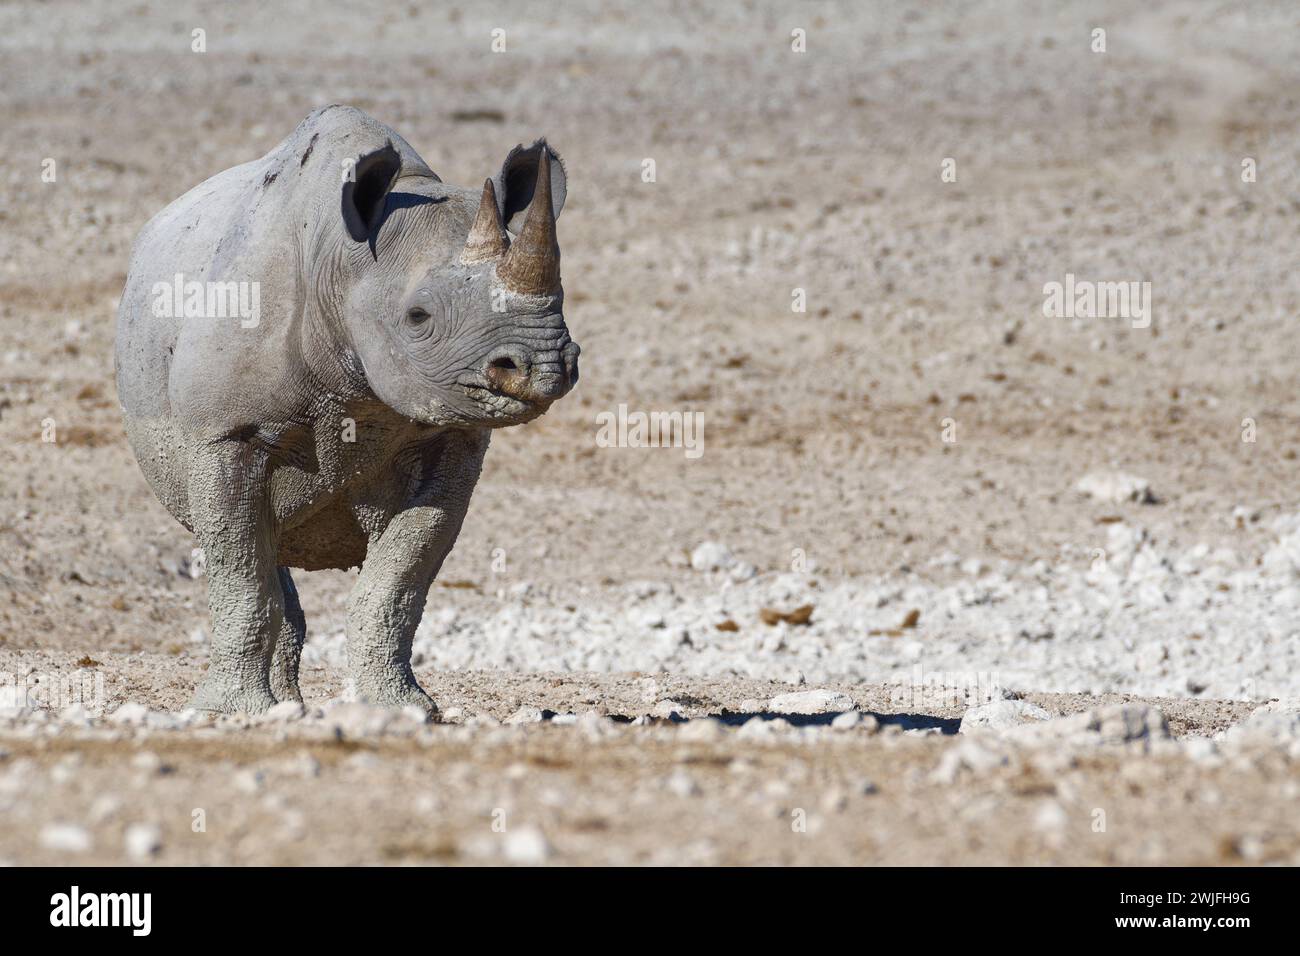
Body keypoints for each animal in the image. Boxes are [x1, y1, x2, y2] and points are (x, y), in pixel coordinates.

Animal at [114, 105, 579, 715]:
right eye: (418, 317)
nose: (544, 365)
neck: (342, 263)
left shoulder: (454, 437)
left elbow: (399, 579)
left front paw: (399, 707)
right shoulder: (226, 434)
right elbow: (242, 575)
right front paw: (233, 712)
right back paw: (280, 706)